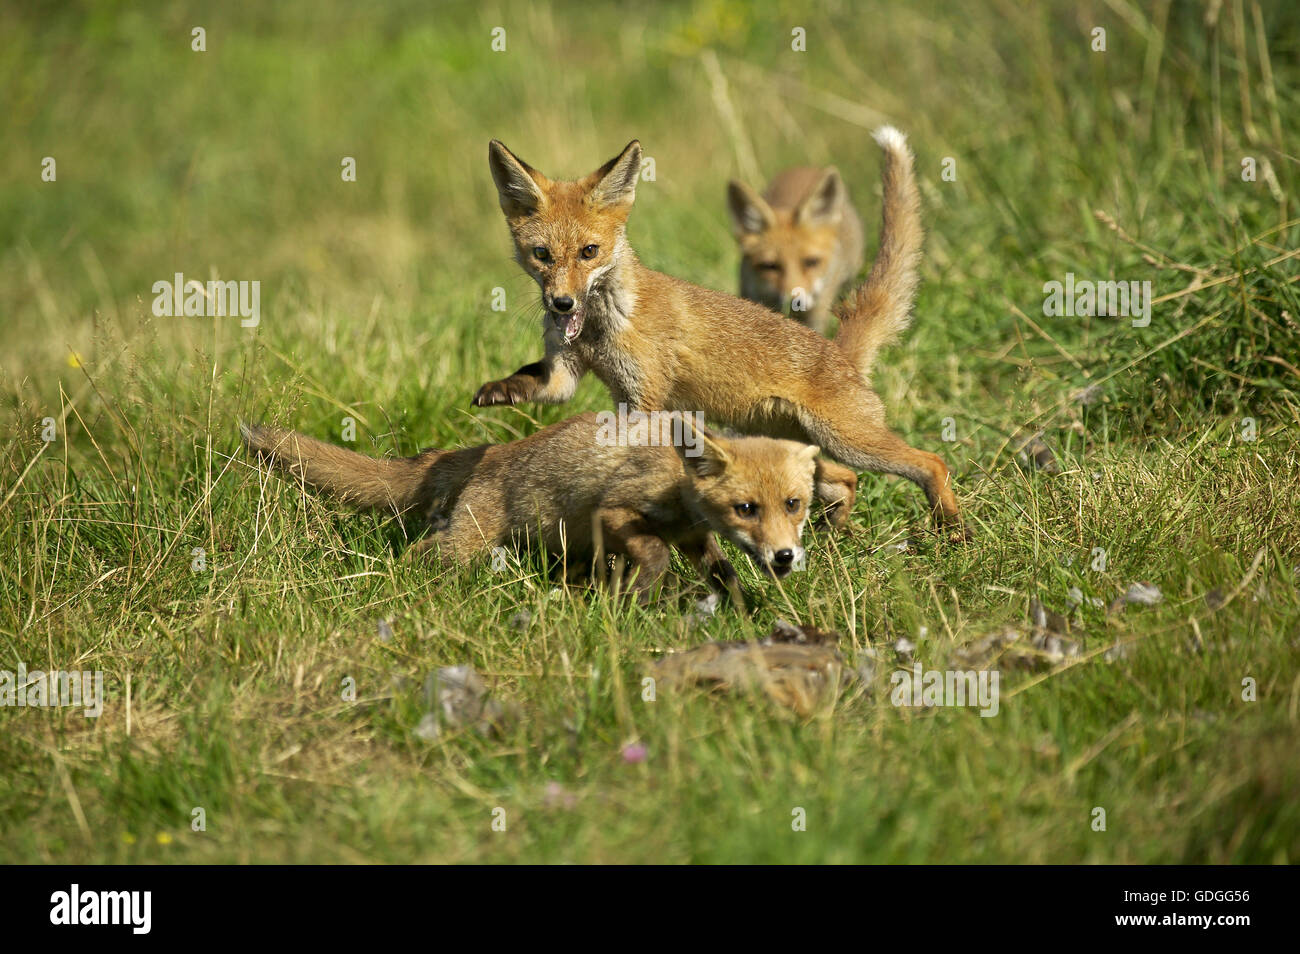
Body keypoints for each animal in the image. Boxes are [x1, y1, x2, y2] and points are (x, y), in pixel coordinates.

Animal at [240, 412, 829, 603]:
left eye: (794, 505)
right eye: (746, 508)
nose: (784, 557)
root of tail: (497, 450)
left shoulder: (693, 535)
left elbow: (723, 573)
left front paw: (744, 612)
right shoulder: (613, 512)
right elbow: (655, 555)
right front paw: (637, 596)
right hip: (467, 544)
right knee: (421, 556)